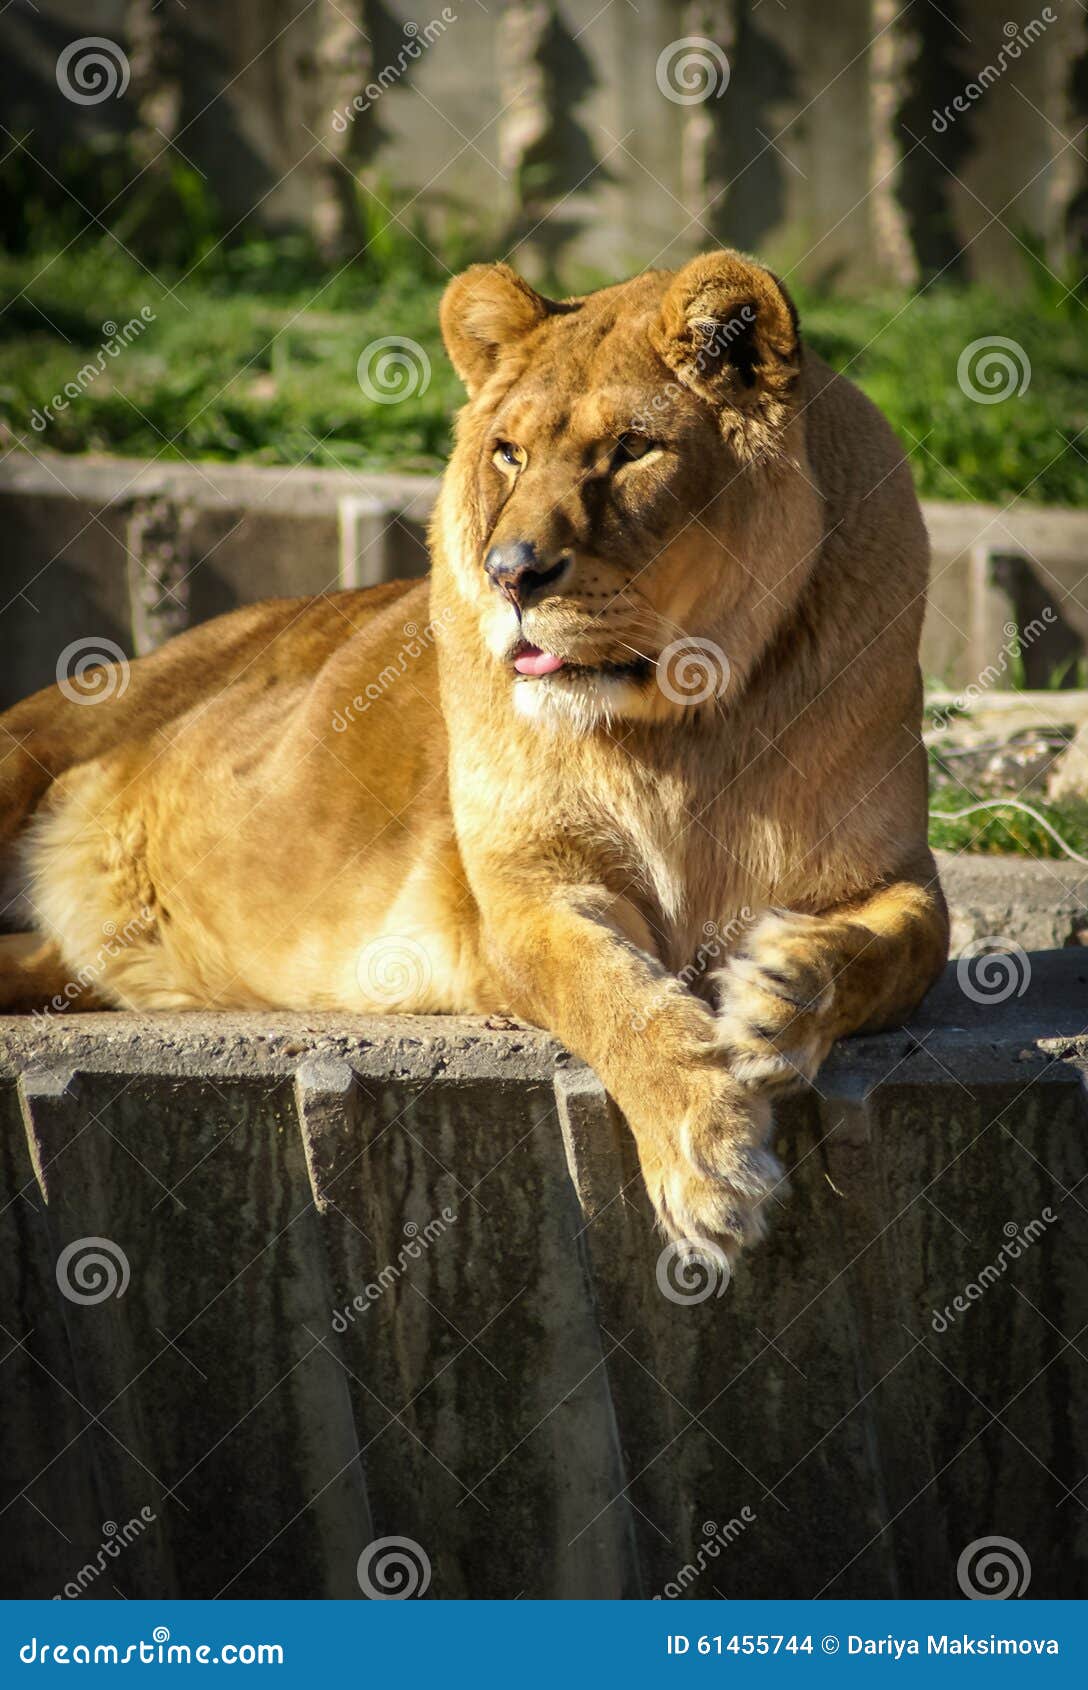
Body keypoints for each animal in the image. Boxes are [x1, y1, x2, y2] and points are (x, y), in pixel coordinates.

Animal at [0, 250, 948, 1255]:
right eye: (509, 454)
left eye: (632, 450)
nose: (511, 575)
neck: (680, 724)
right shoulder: (522, 896)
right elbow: (611, 996)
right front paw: (707, 1158)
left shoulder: (896, 872)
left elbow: (901, 949)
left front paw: (777, 995)